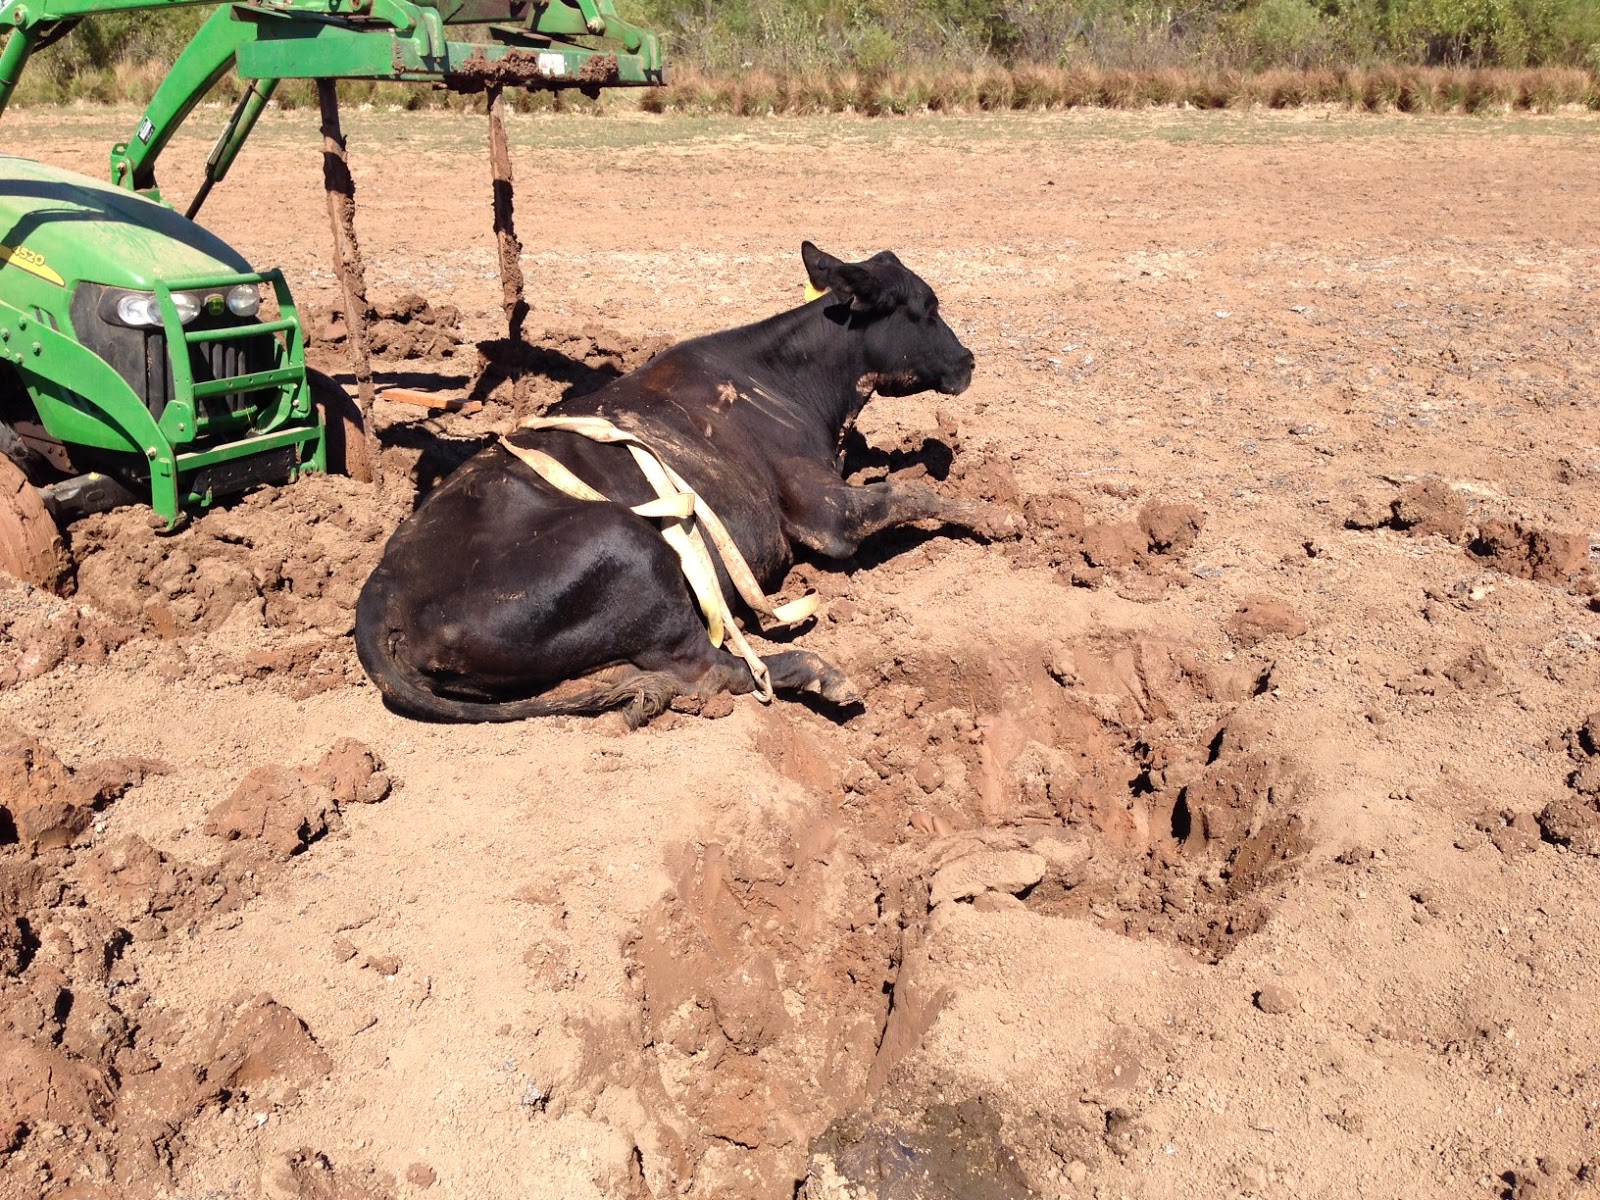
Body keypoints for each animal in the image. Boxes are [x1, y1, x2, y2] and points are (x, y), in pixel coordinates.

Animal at [355, 242, 1017, 725]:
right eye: (927, 307)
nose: (968, 361)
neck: (792, 379)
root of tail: (381, 590)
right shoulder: (827, 515)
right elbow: (905, 494)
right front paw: (997, 515)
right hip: (630, 547)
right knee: (711, 668)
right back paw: (817, 670)